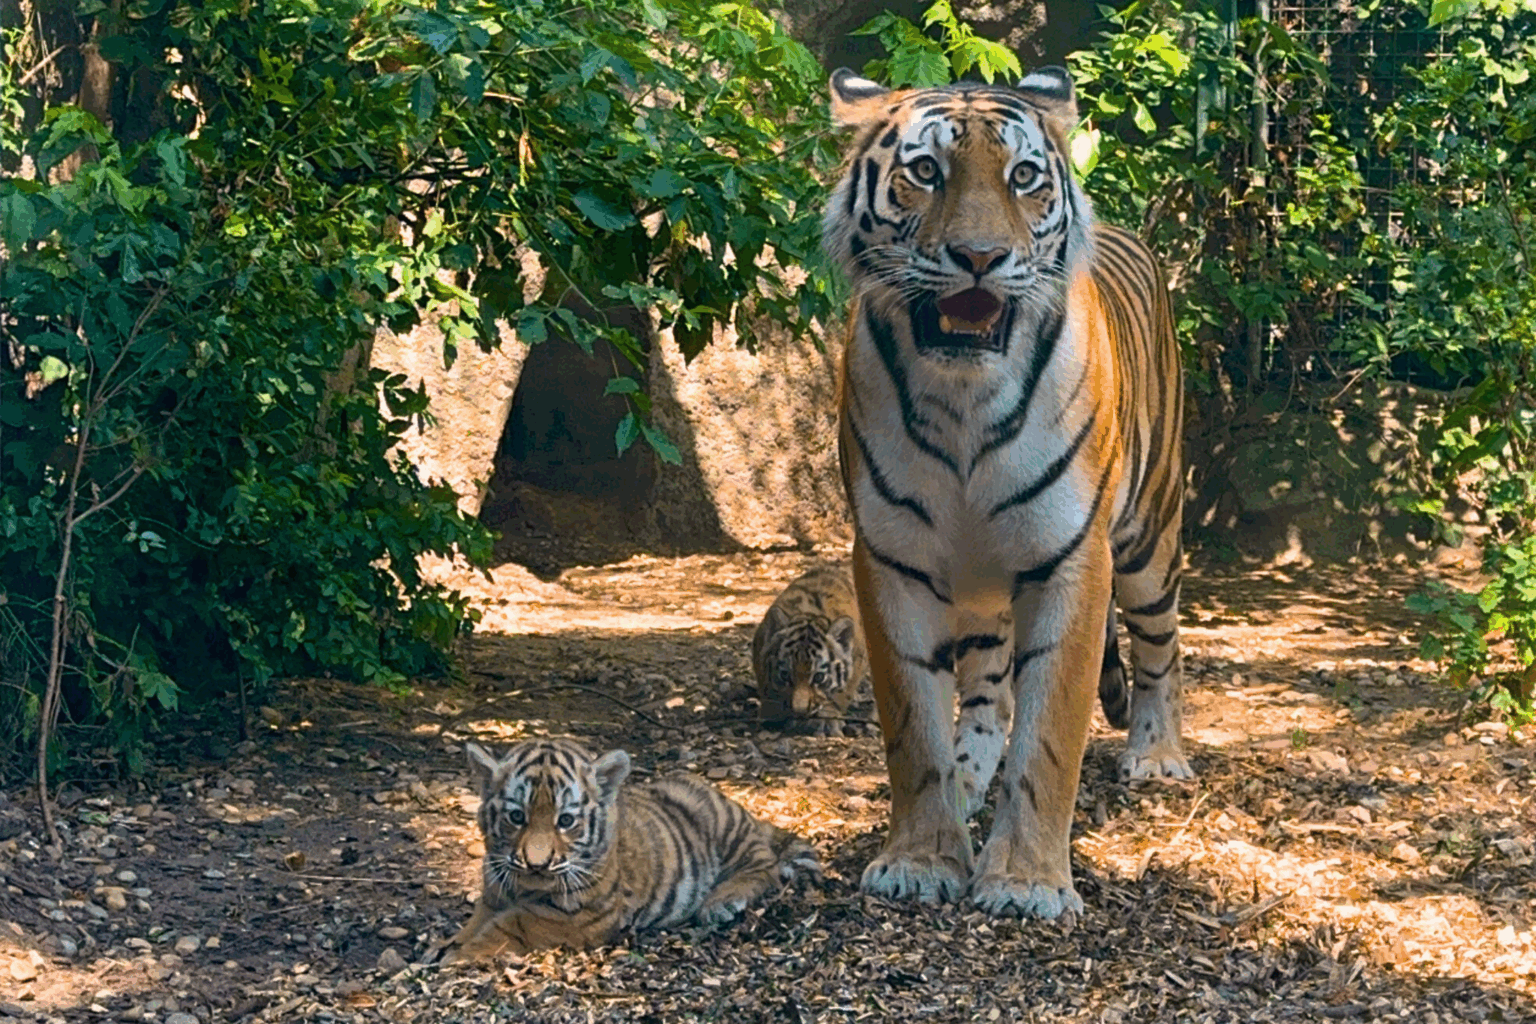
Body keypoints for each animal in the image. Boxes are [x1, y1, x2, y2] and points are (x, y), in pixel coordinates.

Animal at [434, 737, 819, 961]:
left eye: (566, 820)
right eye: (517, 817)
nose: (537, 864)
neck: (524, 888)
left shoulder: (581, 917)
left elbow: (516, 924)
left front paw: (461, 954)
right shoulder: (493, 894)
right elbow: (477, 919)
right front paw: (447, 944)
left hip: (726, 828)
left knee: (765, 865)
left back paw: (720, 901)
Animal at [752, 565, 872, 735]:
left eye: (819, 677)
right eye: (784, 674)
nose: (800, 712)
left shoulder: (857, 662)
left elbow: (840, 694)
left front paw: (828, 720)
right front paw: (771, 713)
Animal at [823, 65, 1191, 921]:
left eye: (1023, 177)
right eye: (926, 171)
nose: (981, 257)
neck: (964, 403)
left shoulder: (1073, 560)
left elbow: (1050, 733)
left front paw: (1025, 882)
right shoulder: (892, 560)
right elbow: (914, 728)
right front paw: (923, 859)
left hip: (1148, 545)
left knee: (1161, 652)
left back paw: (1157, 755)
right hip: (981, 588)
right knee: (987, 698)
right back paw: (967, 782)